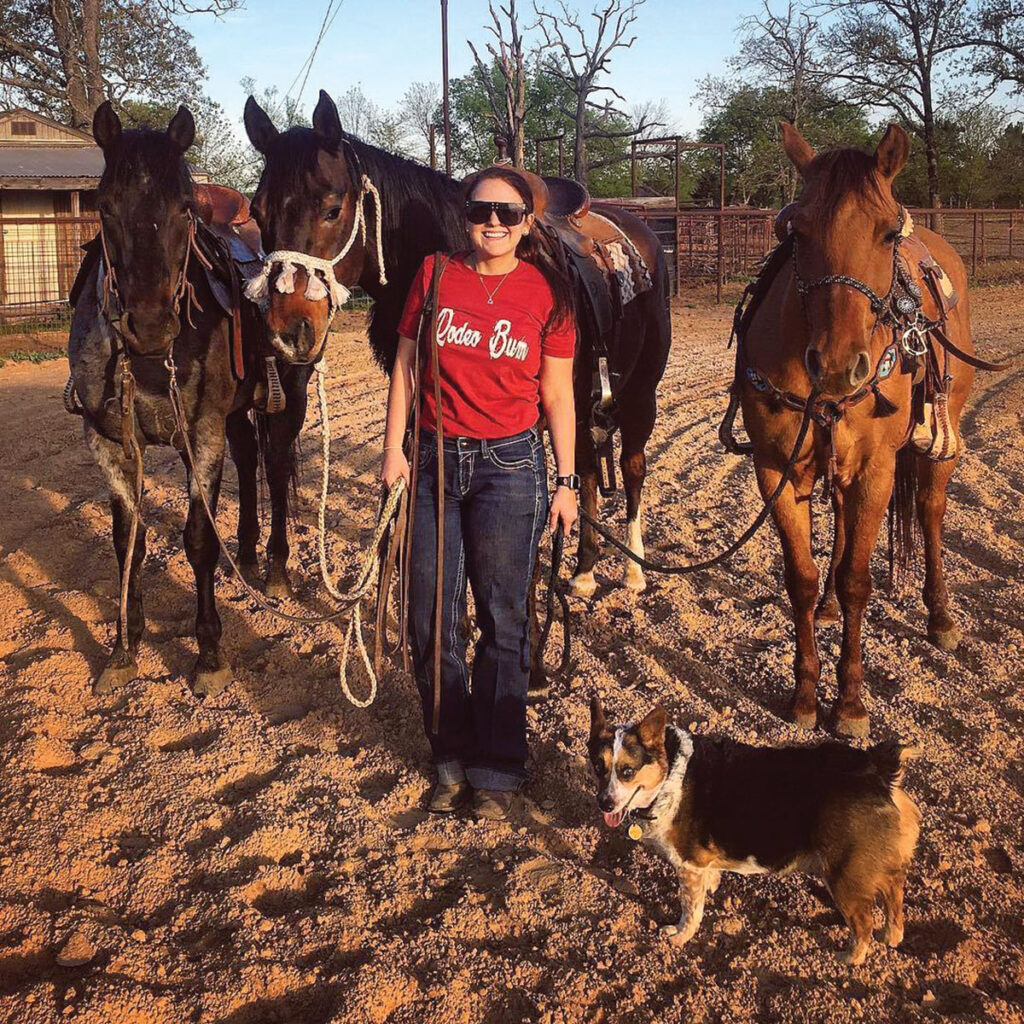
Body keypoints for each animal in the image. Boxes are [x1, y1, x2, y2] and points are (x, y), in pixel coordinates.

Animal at [67, 103, 299, 696]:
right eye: (104, 206)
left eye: (183, 209)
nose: (149, 325)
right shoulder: (110, 442)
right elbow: (127, 539)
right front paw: (124, 647)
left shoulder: (201, 435)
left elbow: (197, 539)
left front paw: (210, 655)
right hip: (237, 414)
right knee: (249, 461)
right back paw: (245, 554)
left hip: (287, 400)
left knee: (276, 468)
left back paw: (276, 570)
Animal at [239, 92, 671, 647]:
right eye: (257, 212)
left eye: (332, 208)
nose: (288, 331)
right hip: (582, 404)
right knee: (591, 471)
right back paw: (584, 573)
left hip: (641, 394)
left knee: (634, 468)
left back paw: (635, 571)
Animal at [589, 696, 925, 958]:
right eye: (597, 766)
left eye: (627, 771)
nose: (604, 804)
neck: (669, 773)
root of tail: (880, 770)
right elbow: (708, 884)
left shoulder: (689, 866)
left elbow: (691, 908)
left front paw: (680, 936)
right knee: (894, 893)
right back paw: (891, 936)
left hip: (844, 875)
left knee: (863, 925)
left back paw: (847, 960)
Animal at [737, 123, 974, 737]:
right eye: (795, 230)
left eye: (888, 232)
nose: (841, 365)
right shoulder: (775, 470)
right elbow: (801, 577)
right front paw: (803, 694)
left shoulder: (876, 471)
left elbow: (856, 581)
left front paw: (848, 702)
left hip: (939, 445)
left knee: (930, 513)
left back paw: (941, 616)